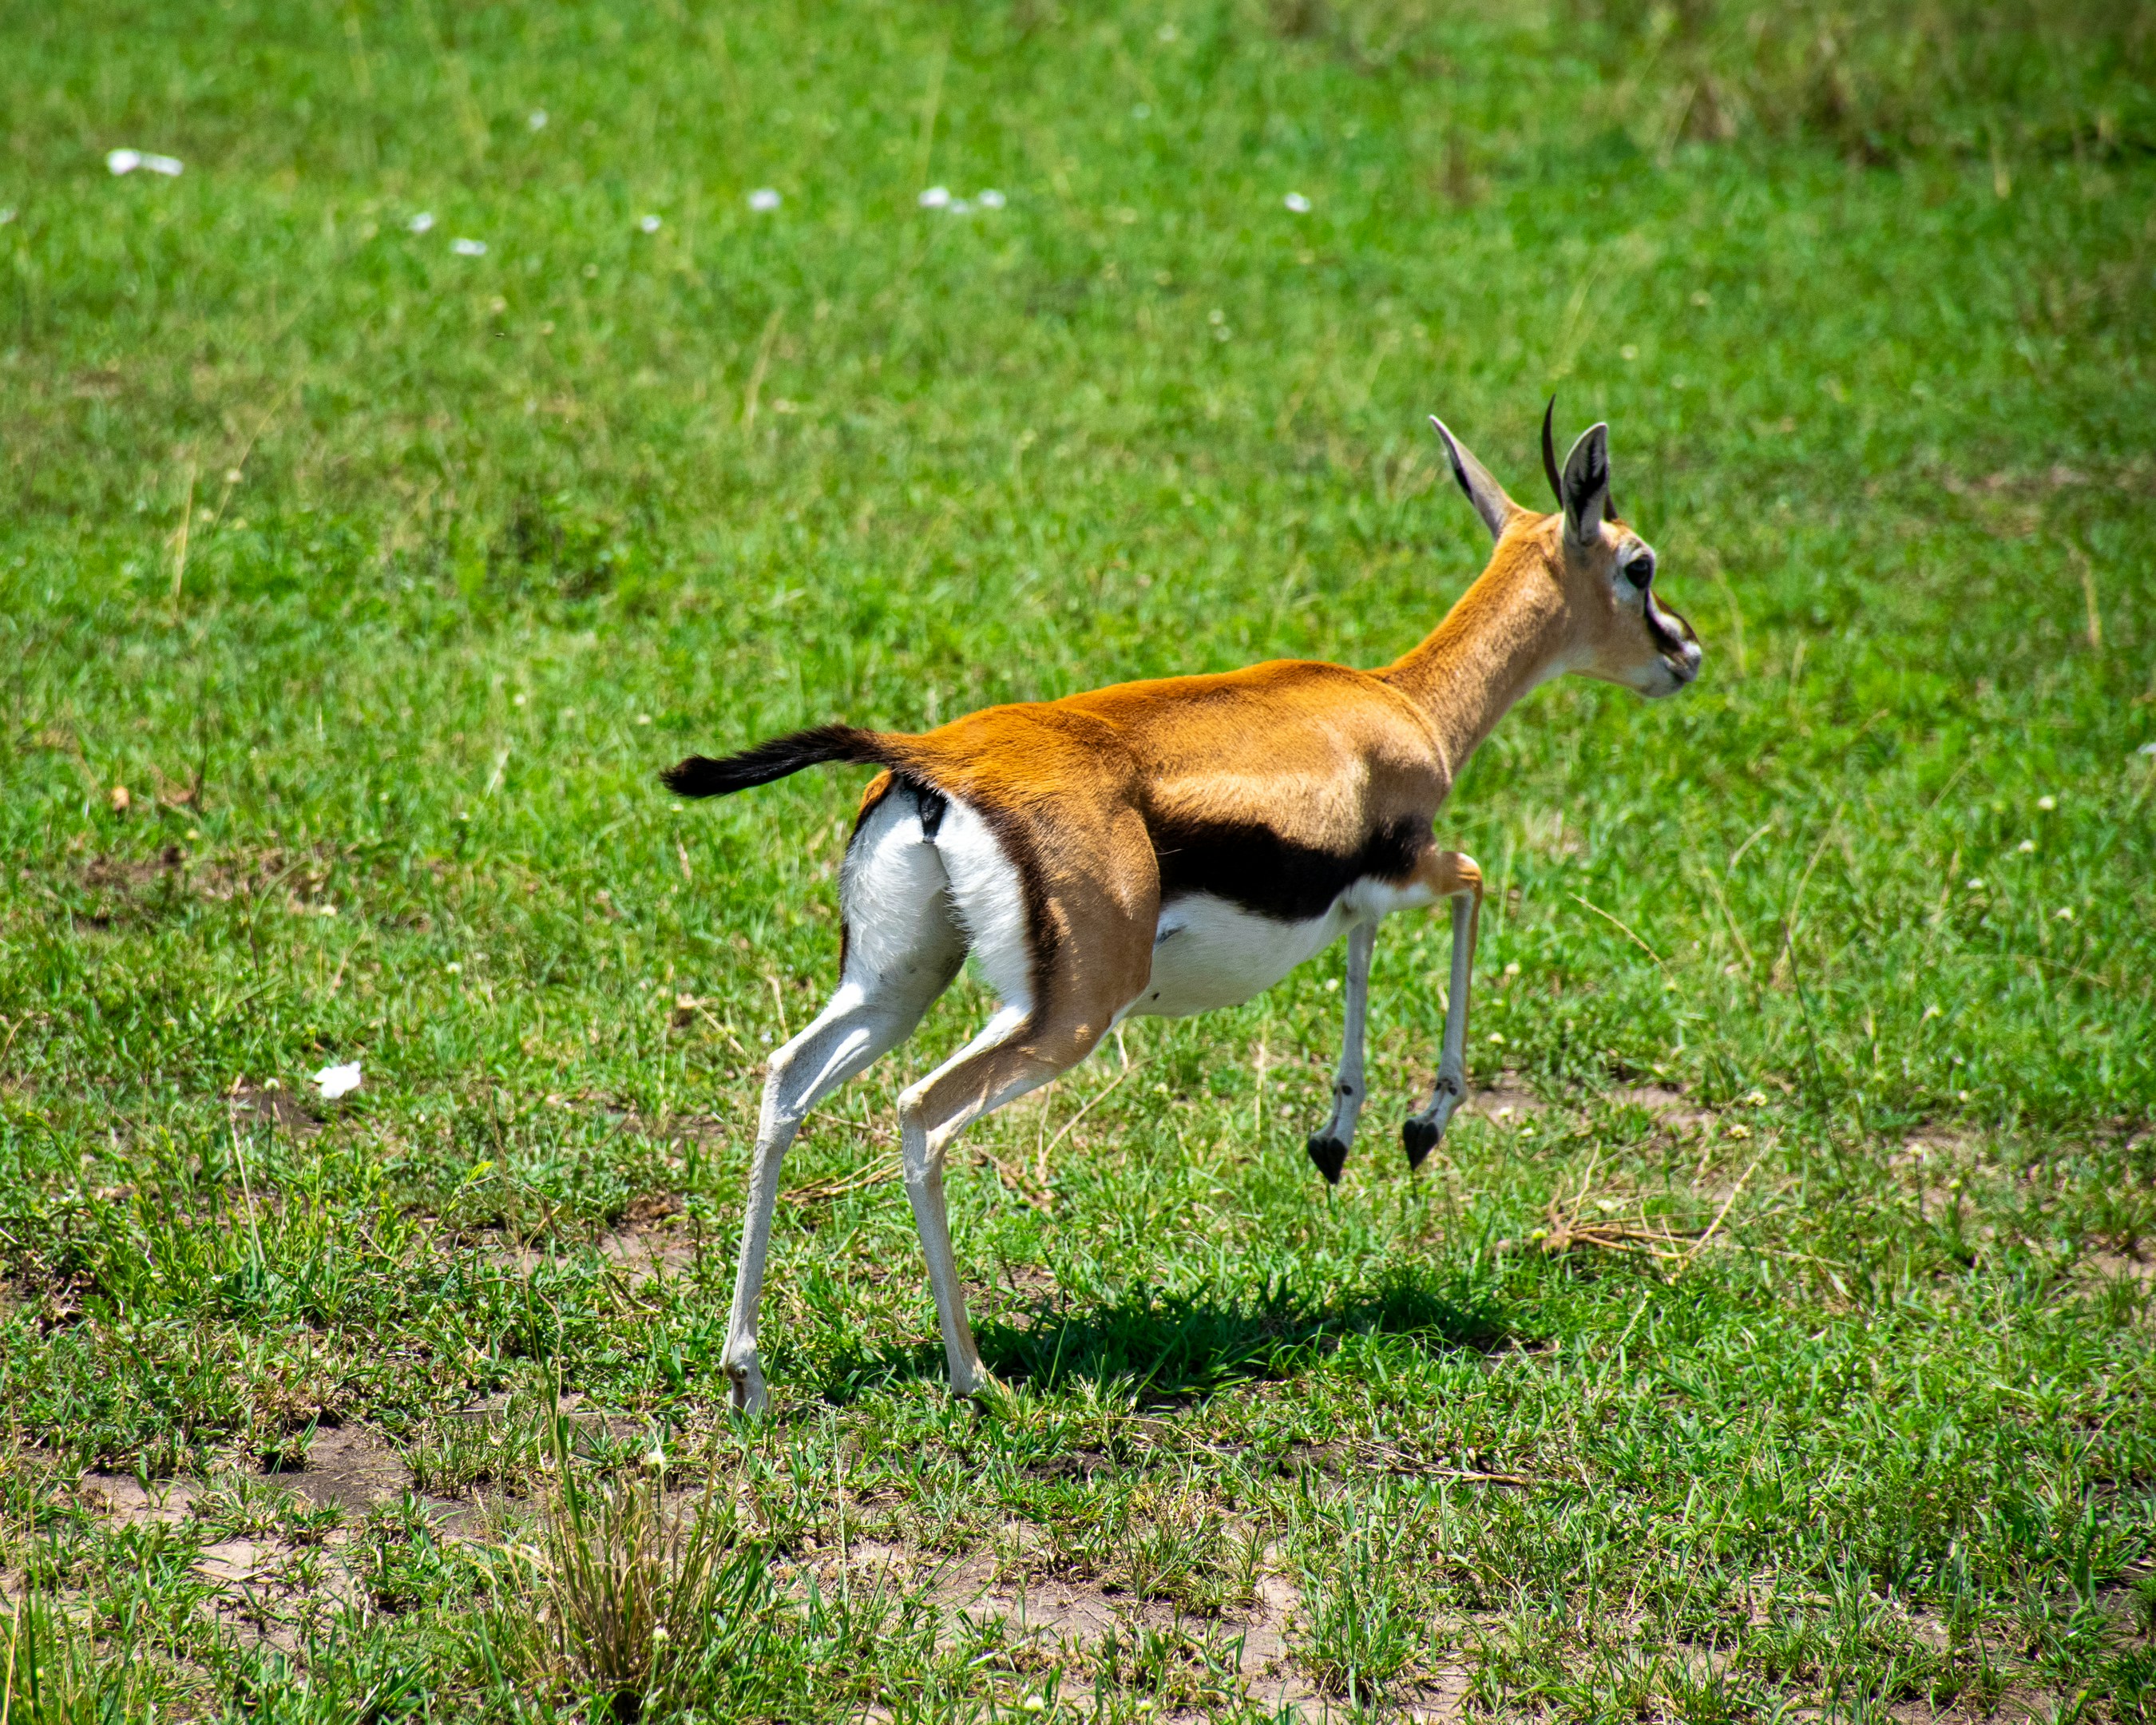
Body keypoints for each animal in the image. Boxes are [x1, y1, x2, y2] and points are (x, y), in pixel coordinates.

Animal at [665, 407, 1701, 1414]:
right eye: (1639, 564)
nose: (1685, 652)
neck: (1404, 706)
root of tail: (936, 761)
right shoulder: (1418, 864)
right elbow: (1473, 886)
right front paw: (1422, 1125)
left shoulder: (1356, 896)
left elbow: (1362, 954)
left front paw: (1337, 1138)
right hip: (1067, 1013)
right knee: (922, 1112)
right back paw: (973, 1375)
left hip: (899, 984)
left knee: (786, 1080)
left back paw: (747, 1374)